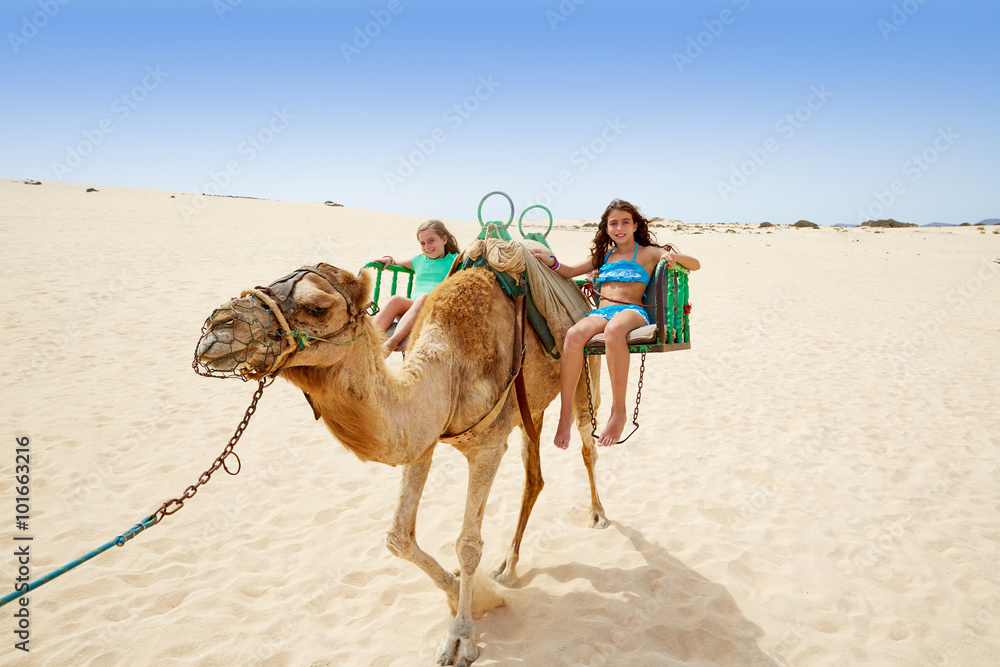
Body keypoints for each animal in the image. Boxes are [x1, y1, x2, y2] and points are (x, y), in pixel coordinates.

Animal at [195, 261, 607, 666]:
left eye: (318, 307)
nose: (219, 325)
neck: (451, 366)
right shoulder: (422, 441)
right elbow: (398, 537)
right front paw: (467, 594)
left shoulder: (488, 447)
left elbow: (468, 545)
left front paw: (461, 636)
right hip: (531, 407)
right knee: (533, 475)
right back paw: (508, 566)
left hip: (584, 369)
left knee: (587, 442)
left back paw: (597, 516)